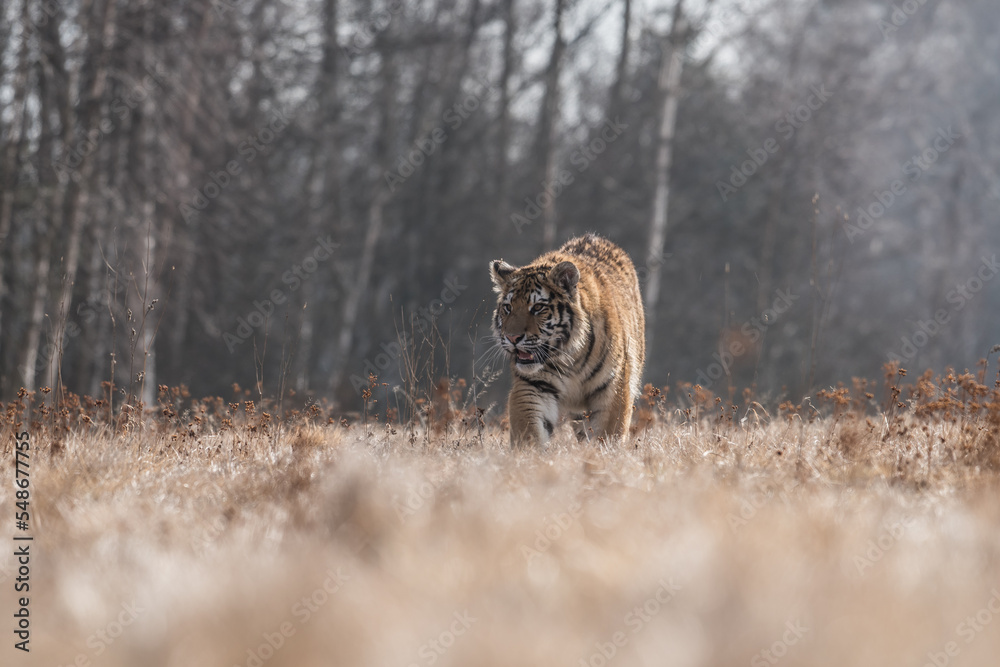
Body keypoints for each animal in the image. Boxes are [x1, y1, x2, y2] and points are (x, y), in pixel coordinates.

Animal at [489, 233, 646, 448]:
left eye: (537, 307)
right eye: (508, 307)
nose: (512, 337)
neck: (571, 357)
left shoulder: (614, 387)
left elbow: (607, 435)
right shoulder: (533, 385)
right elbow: (528, 431)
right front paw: (528, 455)